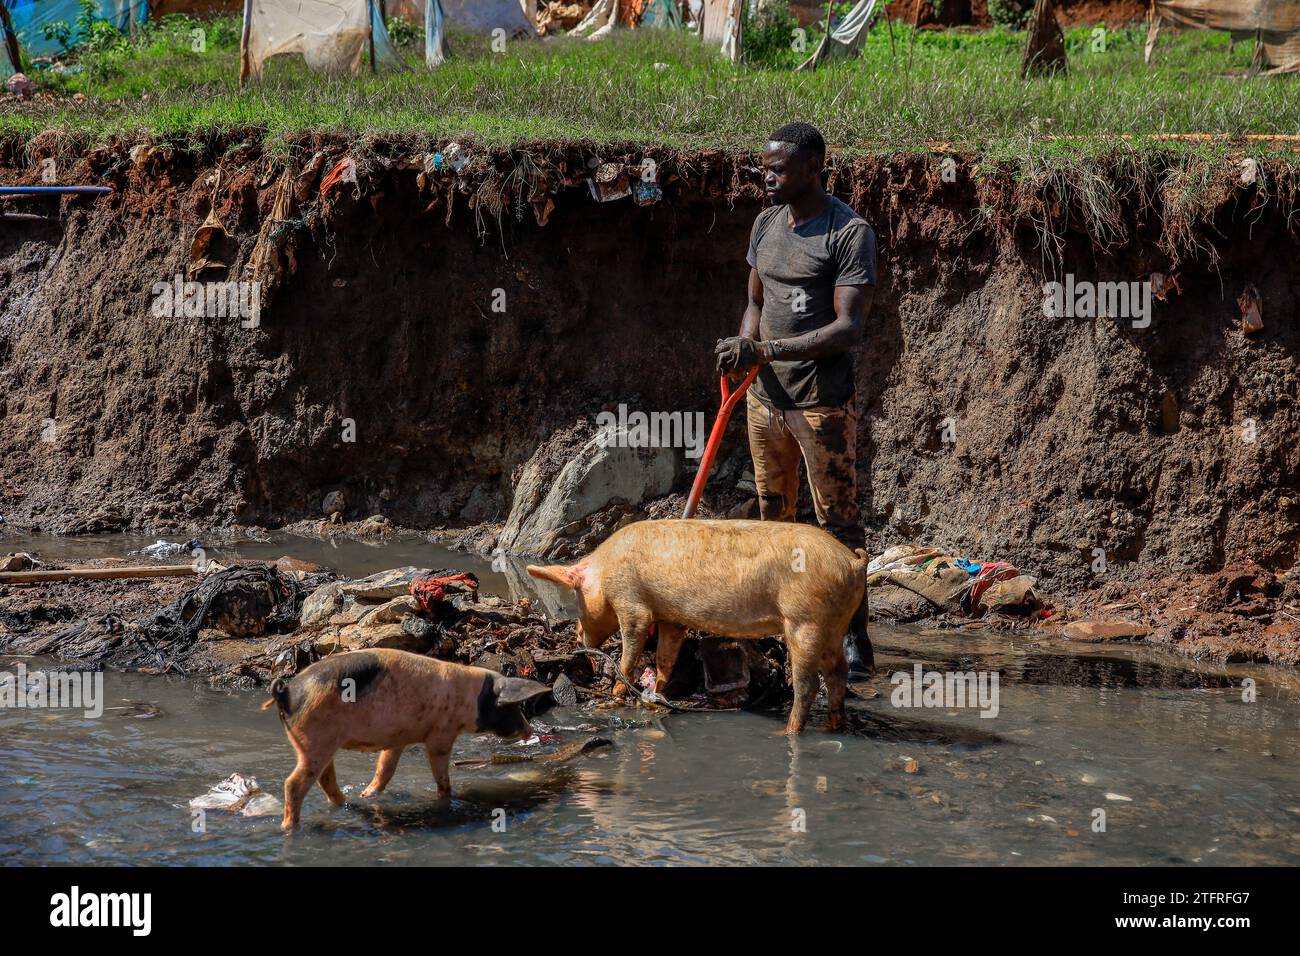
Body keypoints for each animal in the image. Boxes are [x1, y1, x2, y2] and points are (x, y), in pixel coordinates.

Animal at [263, 648, 550, 830]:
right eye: (512, 707)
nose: (529, 730)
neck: (472, 699)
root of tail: (286, 691)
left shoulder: (398, 739)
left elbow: (386, 769)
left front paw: (369, 794)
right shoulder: (441, 734)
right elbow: (440, 773)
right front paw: (447, 798)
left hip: (322, 744)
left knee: (326, 779)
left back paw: (349, 802)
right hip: (315, 741)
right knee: (294, 784)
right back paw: (289, 828)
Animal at [527, 518, 871, 734]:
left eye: (577, 597)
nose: (577, 638)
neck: (604, 569)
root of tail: (851, 562)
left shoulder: (632, 602)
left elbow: (632, 645)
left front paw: (616, 692)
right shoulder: (672, 618)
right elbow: (665, 657)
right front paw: (657, 692)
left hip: (806, 621)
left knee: (808, 684)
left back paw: (788, 732)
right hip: (835, 624)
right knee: (837, 673)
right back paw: (833, 726)